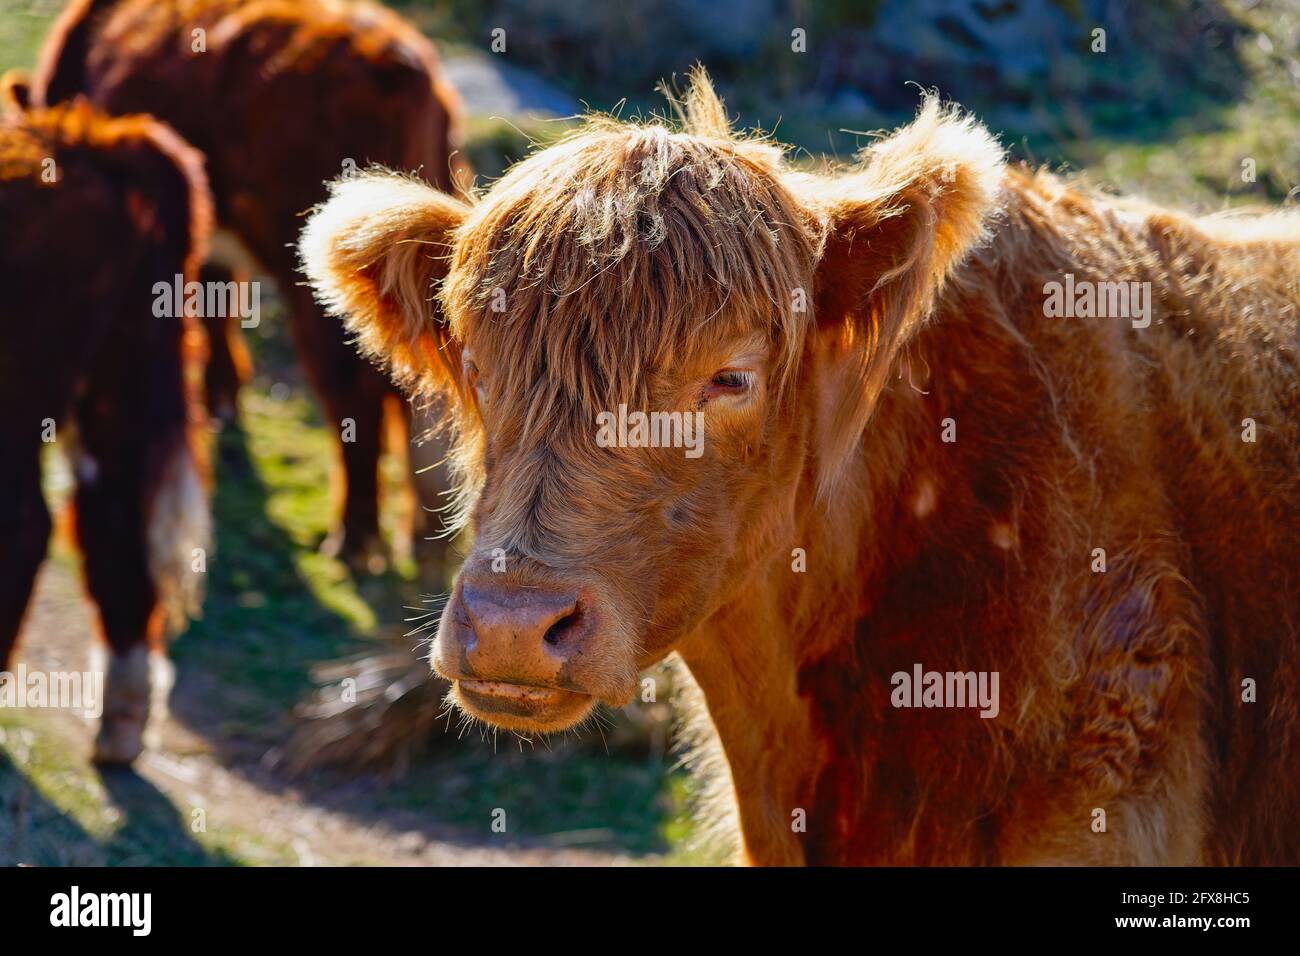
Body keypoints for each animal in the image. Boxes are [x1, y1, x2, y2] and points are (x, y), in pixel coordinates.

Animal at [32, 0, 467, 577]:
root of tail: (398, 62)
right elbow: (219, 307)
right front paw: (223, 399)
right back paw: (423, 536)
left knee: (357, 390)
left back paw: (354, 537)